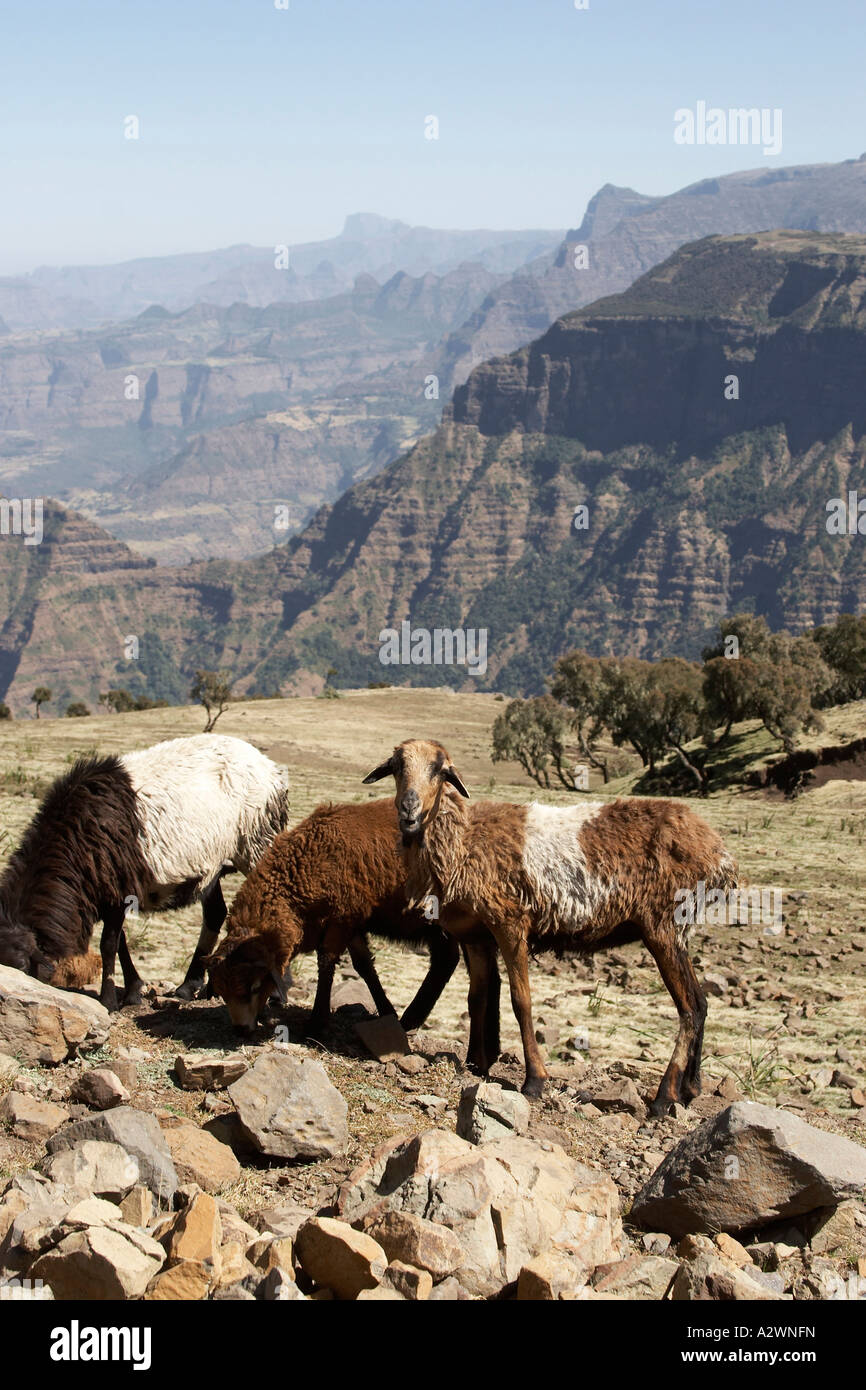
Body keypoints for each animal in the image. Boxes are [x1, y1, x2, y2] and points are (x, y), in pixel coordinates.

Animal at [0, 734, 289, 1011]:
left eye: (23, 968)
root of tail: (271, 768)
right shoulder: (109, 890)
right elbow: (121, 942)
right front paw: (132, 991)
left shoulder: (118, 887)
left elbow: (109, 945)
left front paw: (109, 1000)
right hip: (213, 865)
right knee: (215, 914)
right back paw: (189, 987)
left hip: (258, 843)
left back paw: (276, 993)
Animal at [206, 797, 499, 1055]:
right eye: (222, 992)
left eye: (255, 987)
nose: (241, 1029)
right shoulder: (352, 921)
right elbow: (364, 966)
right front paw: (386, 1011)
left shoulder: (341, 918)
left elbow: (327, 962)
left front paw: (317, 1023)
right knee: (476, 973)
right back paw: (484, 1048)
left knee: (450, 963)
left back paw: (417, 1021)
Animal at [363, 738, 738, 1115]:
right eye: (396, 767)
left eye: (440, 770)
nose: (409, 810)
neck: (464, 840)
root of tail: (719, 854)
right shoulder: (475, 936)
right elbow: (477, 997)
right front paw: (474, 1065)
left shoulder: (510, 923)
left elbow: (521, 1001)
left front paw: (534, 1081)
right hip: (676, 932)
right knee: (701, 1002)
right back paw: (691, 1088)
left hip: (664, 925)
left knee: (689, 1009)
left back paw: (665, 1097)